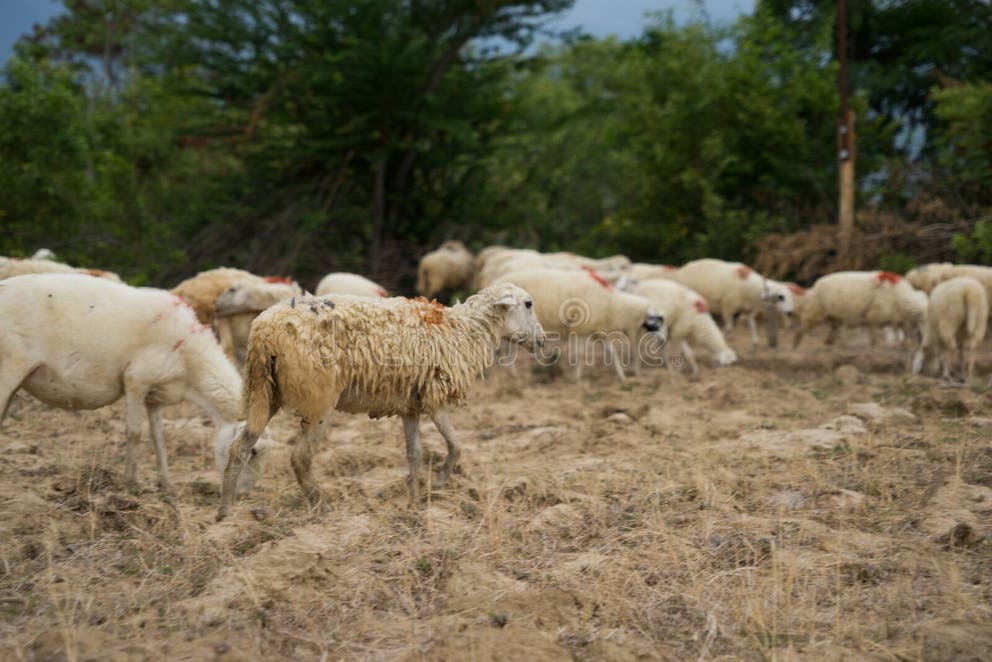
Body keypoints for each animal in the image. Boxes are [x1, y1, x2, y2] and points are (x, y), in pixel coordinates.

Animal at [0, 274, 269, 494]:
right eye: (253, 452)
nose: (242, 495)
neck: (193, 366)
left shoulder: (156, 396)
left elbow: (159, 438)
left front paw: (166, 484)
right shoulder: (136, 380)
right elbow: (134, 433)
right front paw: (131, 483)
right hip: (9, 368)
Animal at [215, 283, 545, 520]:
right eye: (529, 304)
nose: (542, 341)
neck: (464, 331)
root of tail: (264, 333)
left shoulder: (410, 406)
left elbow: (414, 454)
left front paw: (414, 500)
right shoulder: (436, 398)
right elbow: (456, 446)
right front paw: (439, 483)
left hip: (263, 394)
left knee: (239, 447)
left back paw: (226, 514)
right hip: (318, 399)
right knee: (300, 458)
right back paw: (322, 508)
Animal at [495, 267, 667, 383]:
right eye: (656, 322)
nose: (664, 340)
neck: (614, 305)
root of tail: (498, 280)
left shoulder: (598, 330)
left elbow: (612, 352)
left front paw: (622, 377)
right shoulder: (582, 329)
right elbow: (582, 354)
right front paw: (576, 378)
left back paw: (510, 374)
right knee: (505, 348)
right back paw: (511, 374)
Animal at [792, 271, 928, 361]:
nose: (924, 342)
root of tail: (815, 285)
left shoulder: (898, 319)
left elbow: (904, 335)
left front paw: (905, 348)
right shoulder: (873, 317)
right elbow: (874, 338)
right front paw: (874, 350)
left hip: (835, 316)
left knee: (835, 330)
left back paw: (834, 344)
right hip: (815, 312)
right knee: (801, 330)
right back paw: (796, 347)